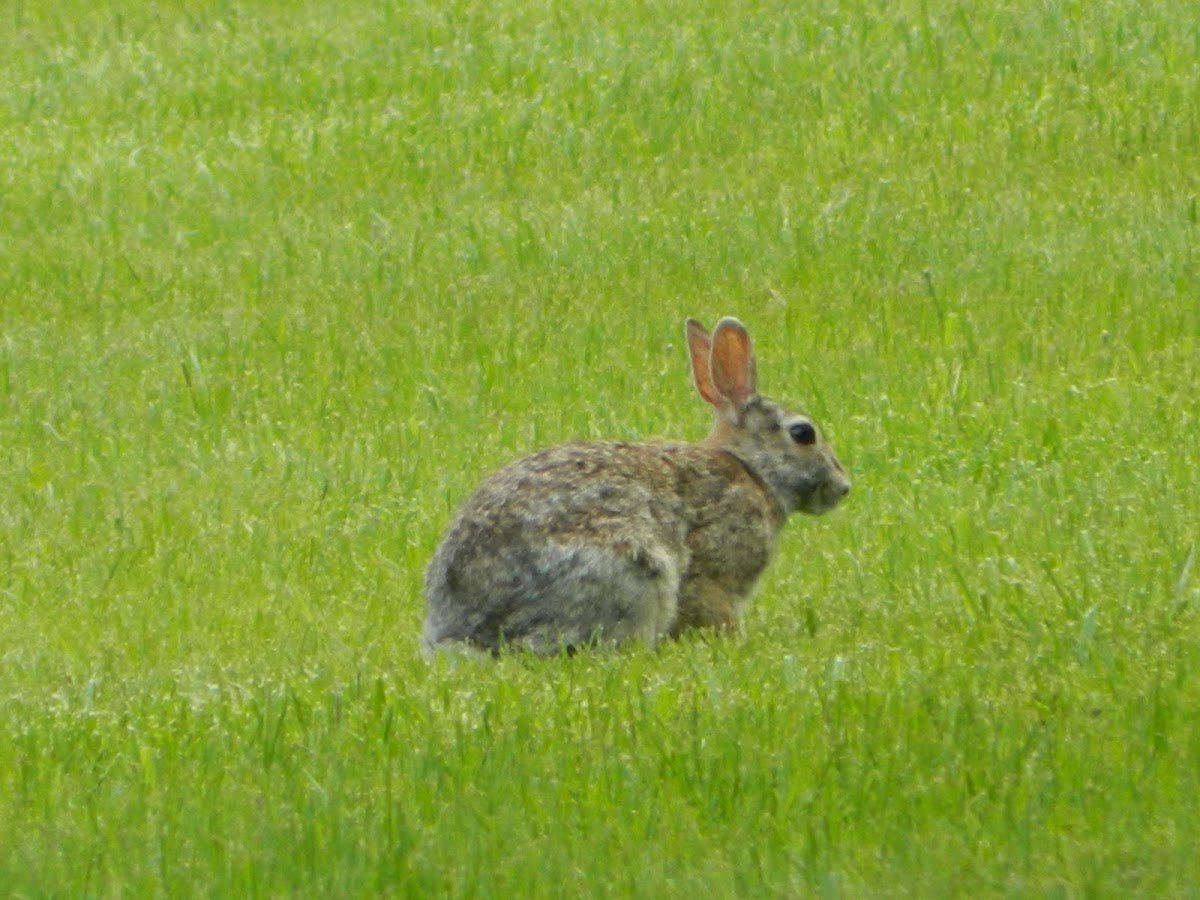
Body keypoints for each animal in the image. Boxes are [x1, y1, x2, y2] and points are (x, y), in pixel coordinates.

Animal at [427, 316, 849, 657]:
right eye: (803, 434)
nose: (843, 487)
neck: (752, 469)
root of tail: (461, 634)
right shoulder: (712, 572)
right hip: (634, 571)